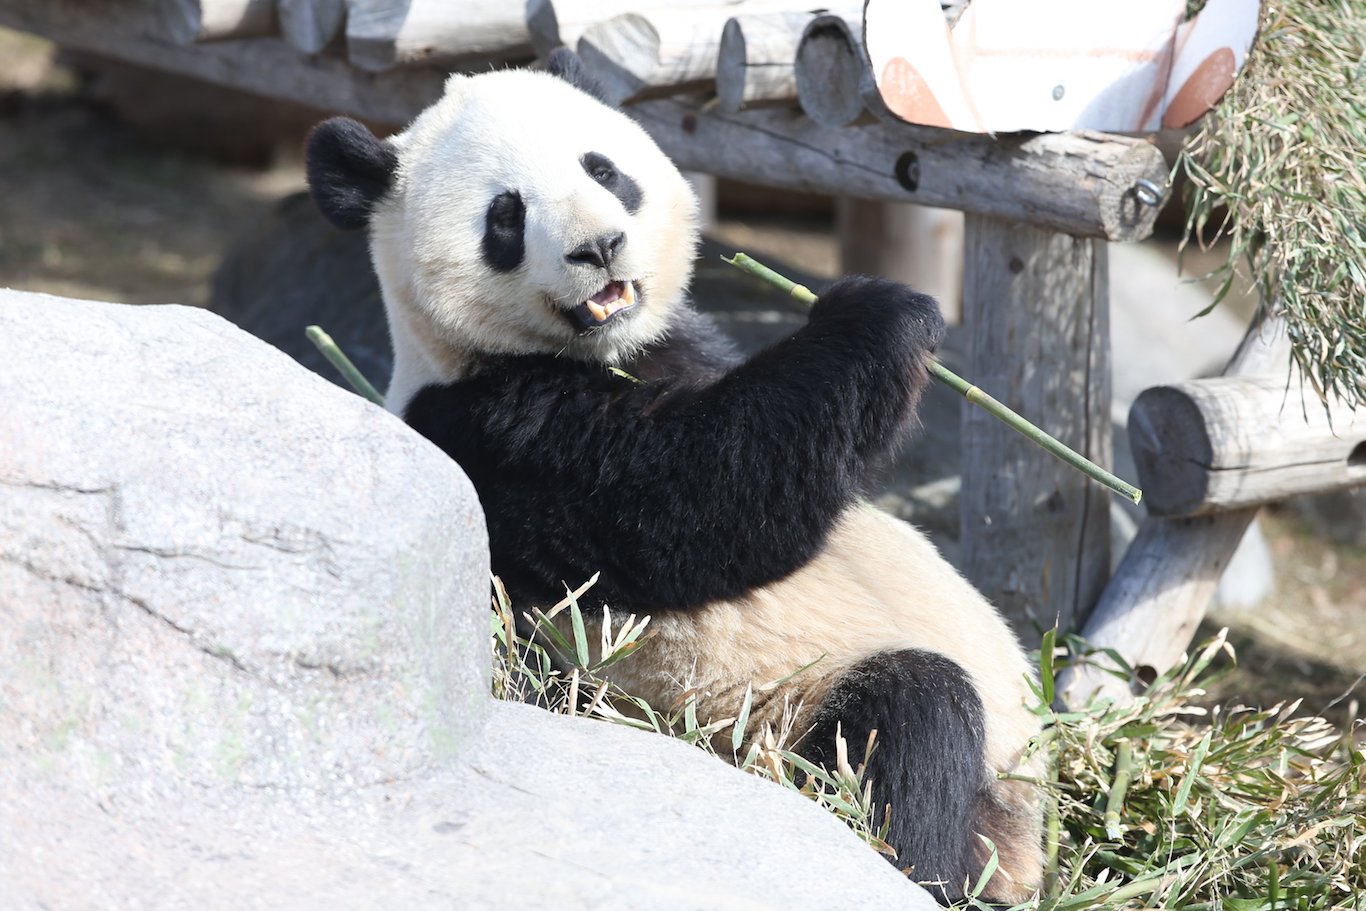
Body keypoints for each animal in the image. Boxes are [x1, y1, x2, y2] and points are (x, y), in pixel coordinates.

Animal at [305, 50, 1043, 906]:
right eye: (505, 217)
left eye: (603, 169)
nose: (599, 247)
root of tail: (1019, 838)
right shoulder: (496, 430)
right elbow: (701, 501)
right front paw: (879, 314)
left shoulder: (681, 346)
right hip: (776, 713)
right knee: (905, 721)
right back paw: (930, 864)